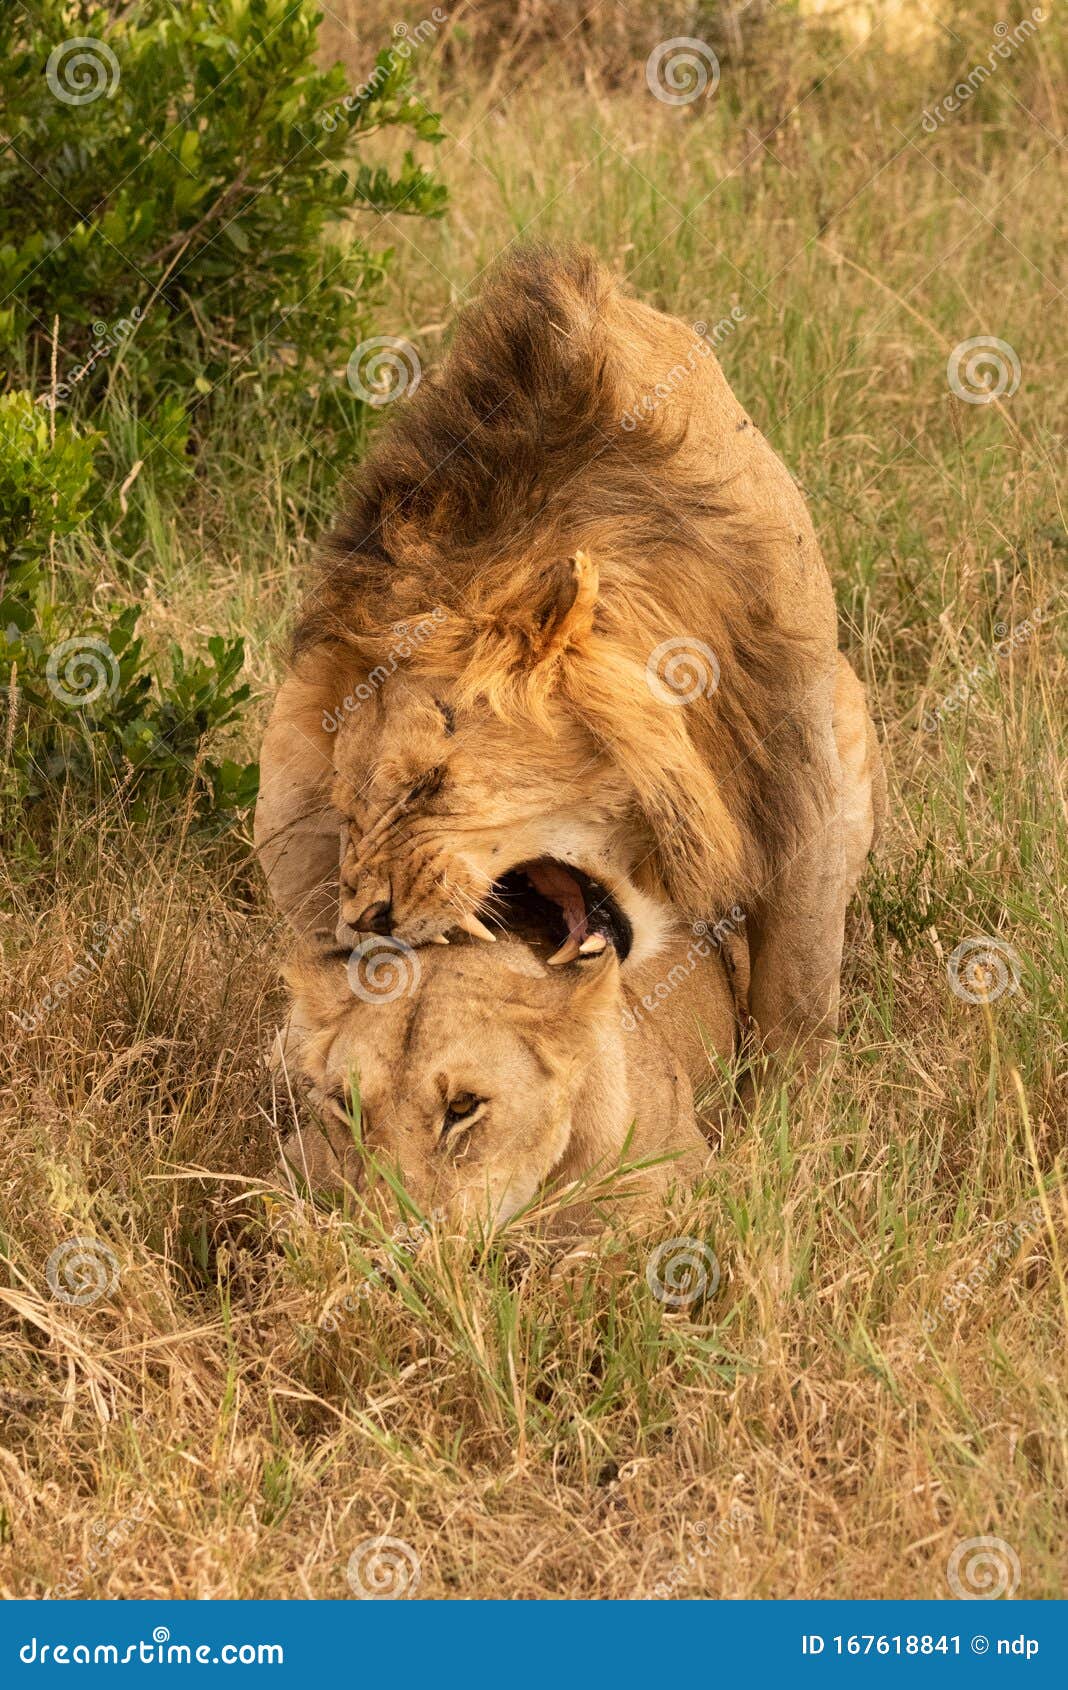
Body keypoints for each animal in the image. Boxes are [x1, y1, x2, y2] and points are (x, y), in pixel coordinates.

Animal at [256, 245, 885, 1059]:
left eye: (430, 784)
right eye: (349, 813)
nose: (368, 921)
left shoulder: (801, 759)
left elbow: (798, 986)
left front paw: (790, 1094)